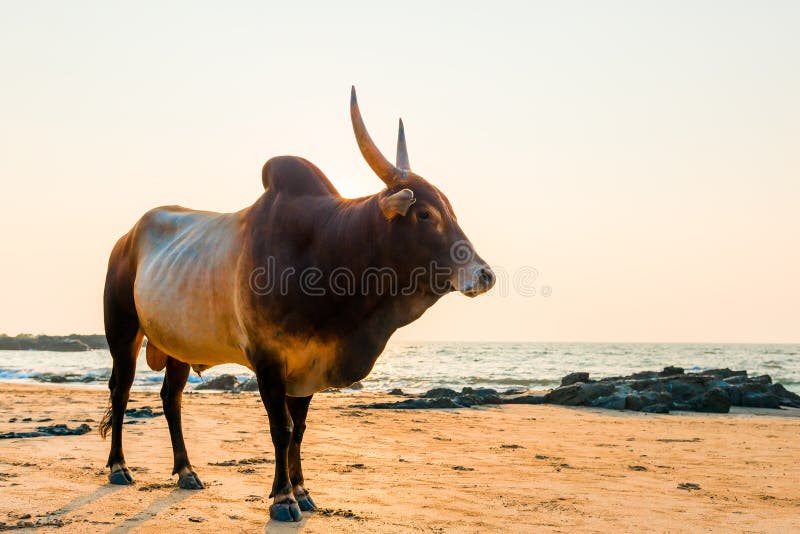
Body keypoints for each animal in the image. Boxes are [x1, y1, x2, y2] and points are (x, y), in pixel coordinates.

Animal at [100, 87, 495, 522]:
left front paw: (303, 492)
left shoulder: (310, 364)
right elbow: (282, 428)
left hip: (179, 345)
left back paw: (187, 471)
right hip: (122, 332)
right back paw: (119, 467)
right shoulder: (269, 360)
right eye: (425, 213)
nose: (484, 275)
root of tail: (128, 236)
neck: (329, 251)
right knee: (120, 390)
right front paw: (283, 498)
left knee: (171, 398)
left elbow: (300, 431)